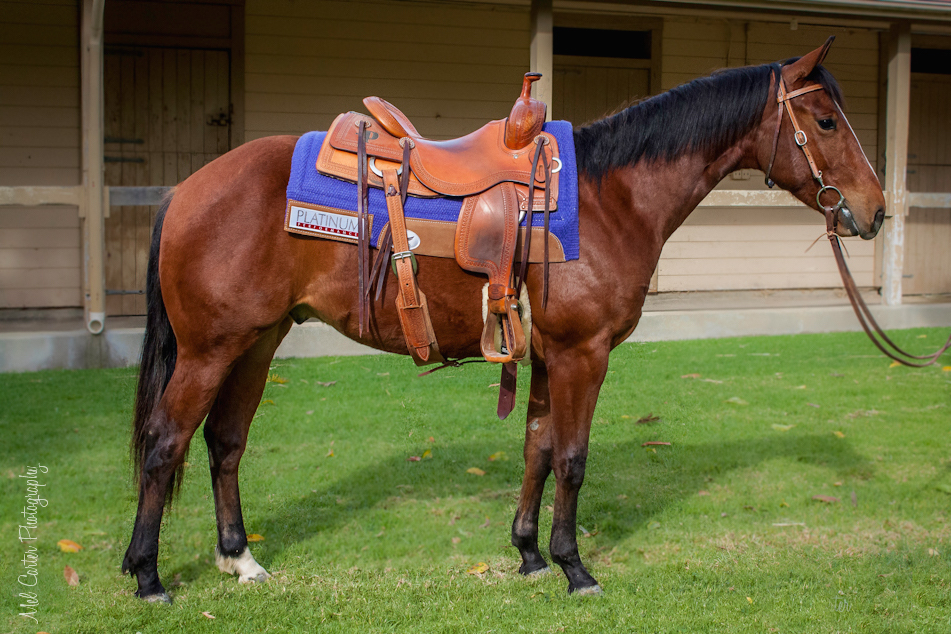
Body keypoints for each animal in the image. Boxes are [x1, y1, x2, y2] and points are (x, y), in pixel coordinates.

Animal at [122, 37, 886, 602]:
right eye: (824, 122)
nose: (874, 210)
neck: (609, 198)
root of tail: (185, 189)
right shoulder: (584, 353)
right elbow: (572, 459)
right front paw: (575, 568)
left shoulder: (547, 355)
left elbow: (537, 449)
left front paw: (528, 554)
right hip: (209, 349)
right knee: (164, 443)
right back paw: (149, 576)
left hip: (256, 342)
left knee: (223, 443)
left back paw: (239, 559)